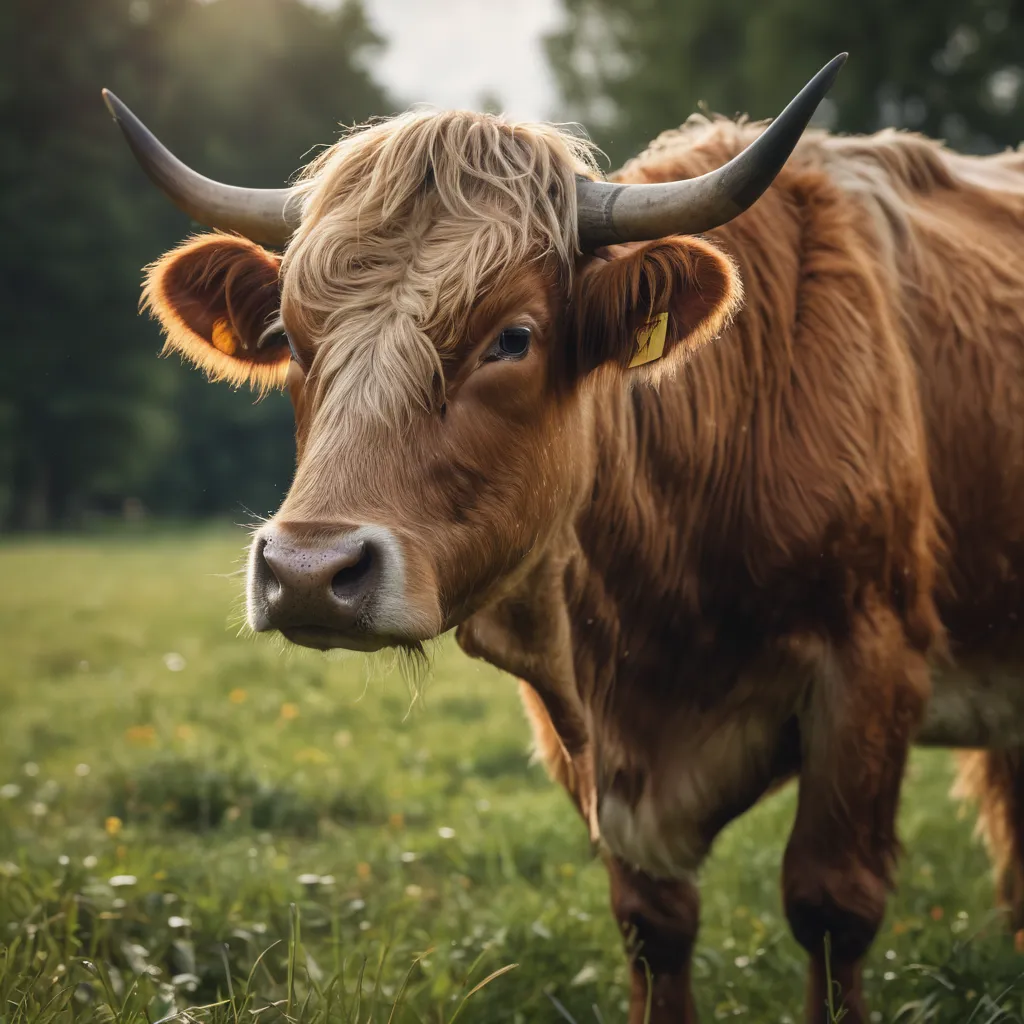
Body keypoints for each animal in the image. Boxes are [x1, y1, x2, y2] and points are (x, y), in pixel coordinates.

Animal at [103, 53, 1024, 1022]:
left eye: (512, 338)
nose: (310, 572)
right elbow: (653, 925)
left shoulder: (870, 665)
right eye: (290, 335)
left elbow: (831, 905)